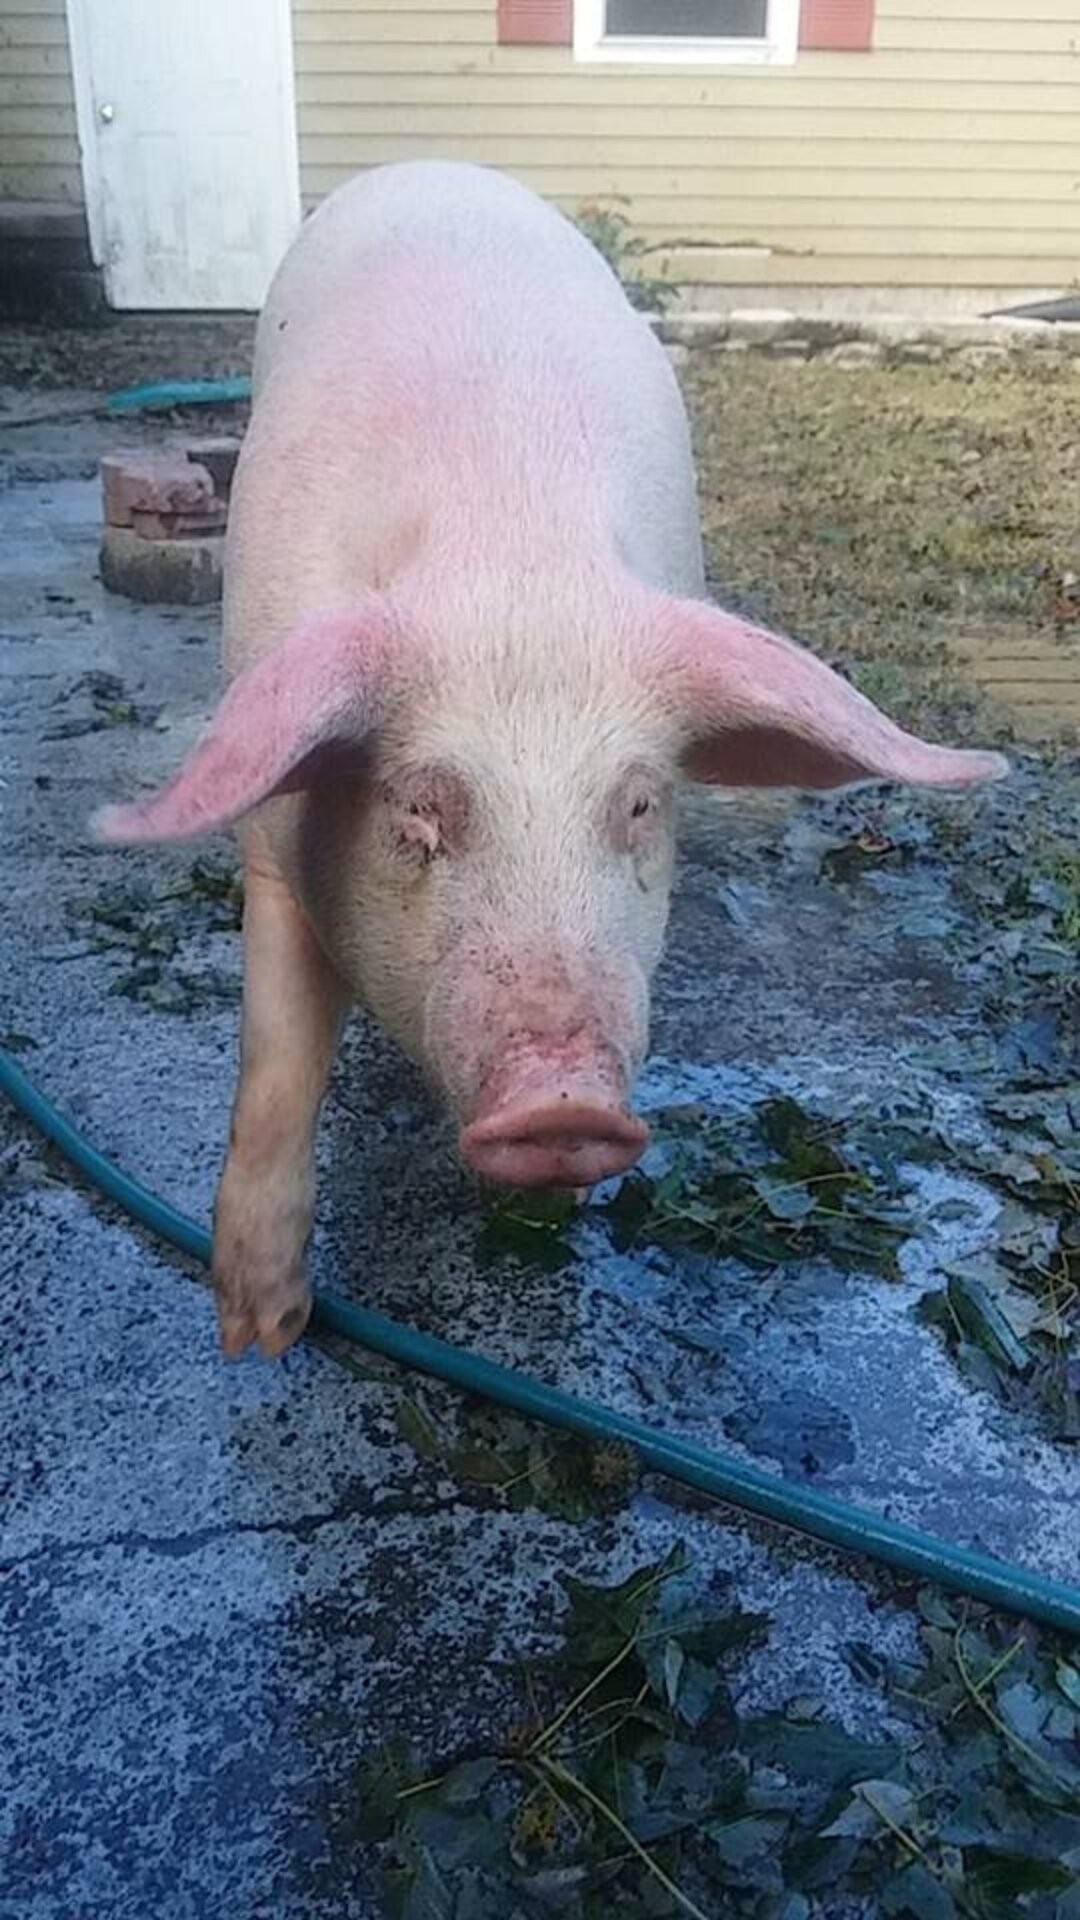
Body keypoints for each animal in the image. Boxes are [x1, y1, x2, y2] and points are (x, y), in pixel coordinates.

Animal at [94, 161, 1005, 1360]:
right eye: (420, 809)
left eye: (639, 807)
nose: (563, 1103)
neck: (511, 567)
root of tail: (436, 164)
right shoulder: (272, 846)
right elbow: (277, 1063)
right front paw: (259, 1338)